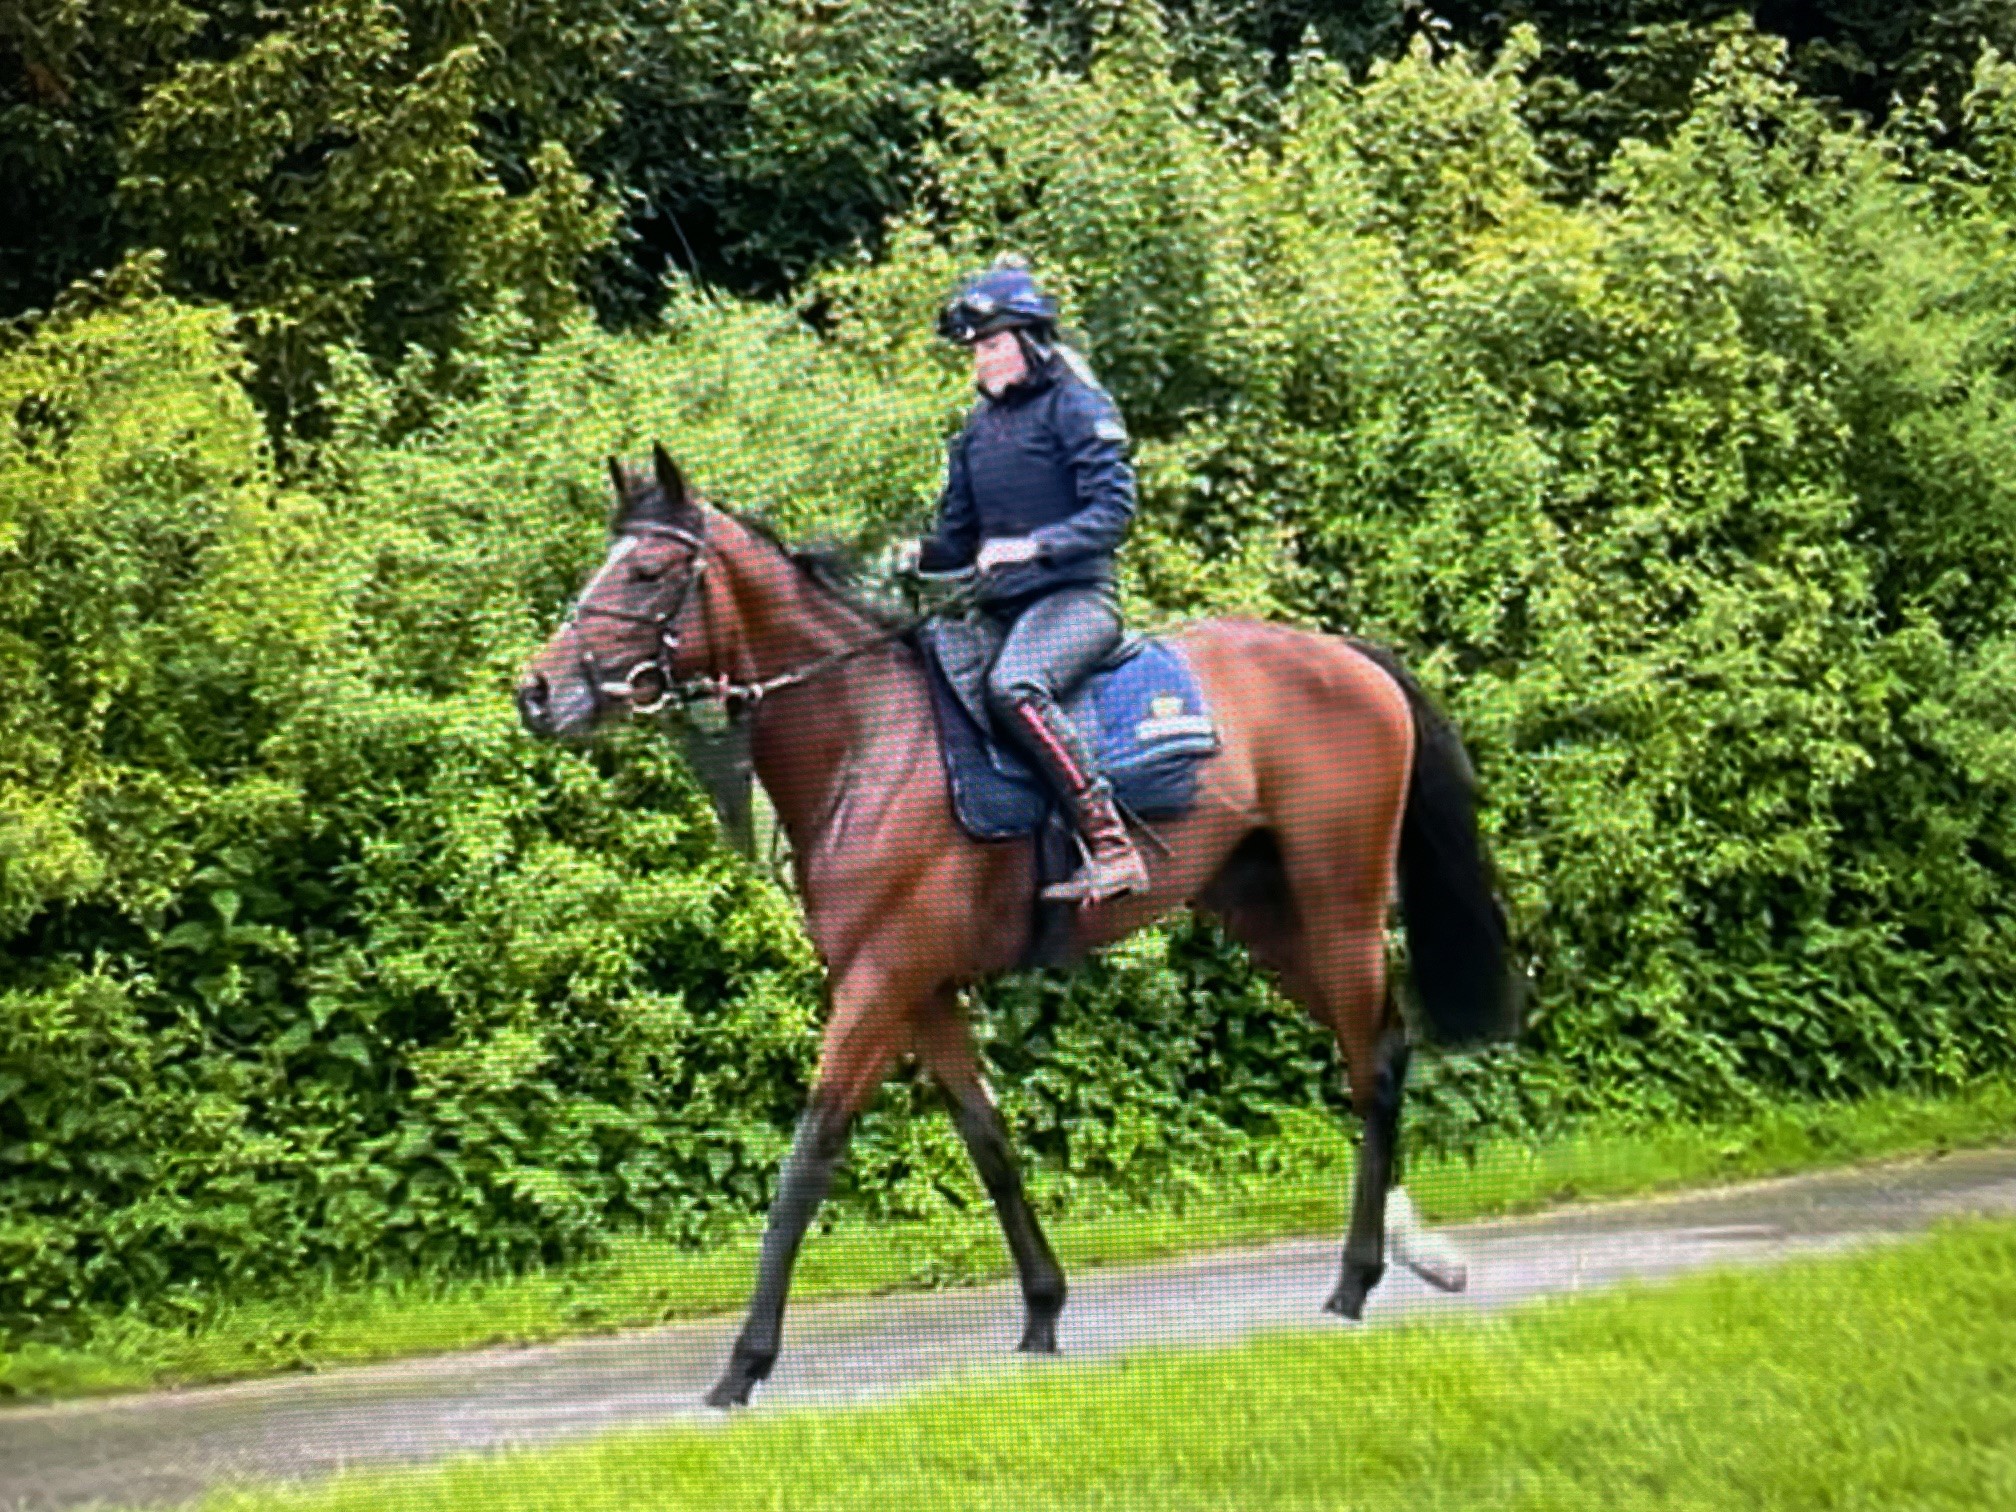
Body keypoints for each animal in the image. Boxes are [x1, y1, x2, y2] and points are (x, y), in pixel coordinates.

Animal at [515, 446, 1519, 1408]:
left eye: (648, 571)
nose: (536, 691)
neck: (865, 740)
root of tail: (1347, 655)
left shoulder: (878, 985)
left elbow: (809, 1157)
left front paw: (743, 1366)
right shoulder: (921, 992)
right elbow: (989, 1143)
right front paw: (1041, 1315)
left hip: (1338, 898)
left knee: (1372, 1063)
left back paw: (1355, 1281)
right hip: (1268, 919)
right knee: (1377, 1045)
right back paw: (1421, 1255)